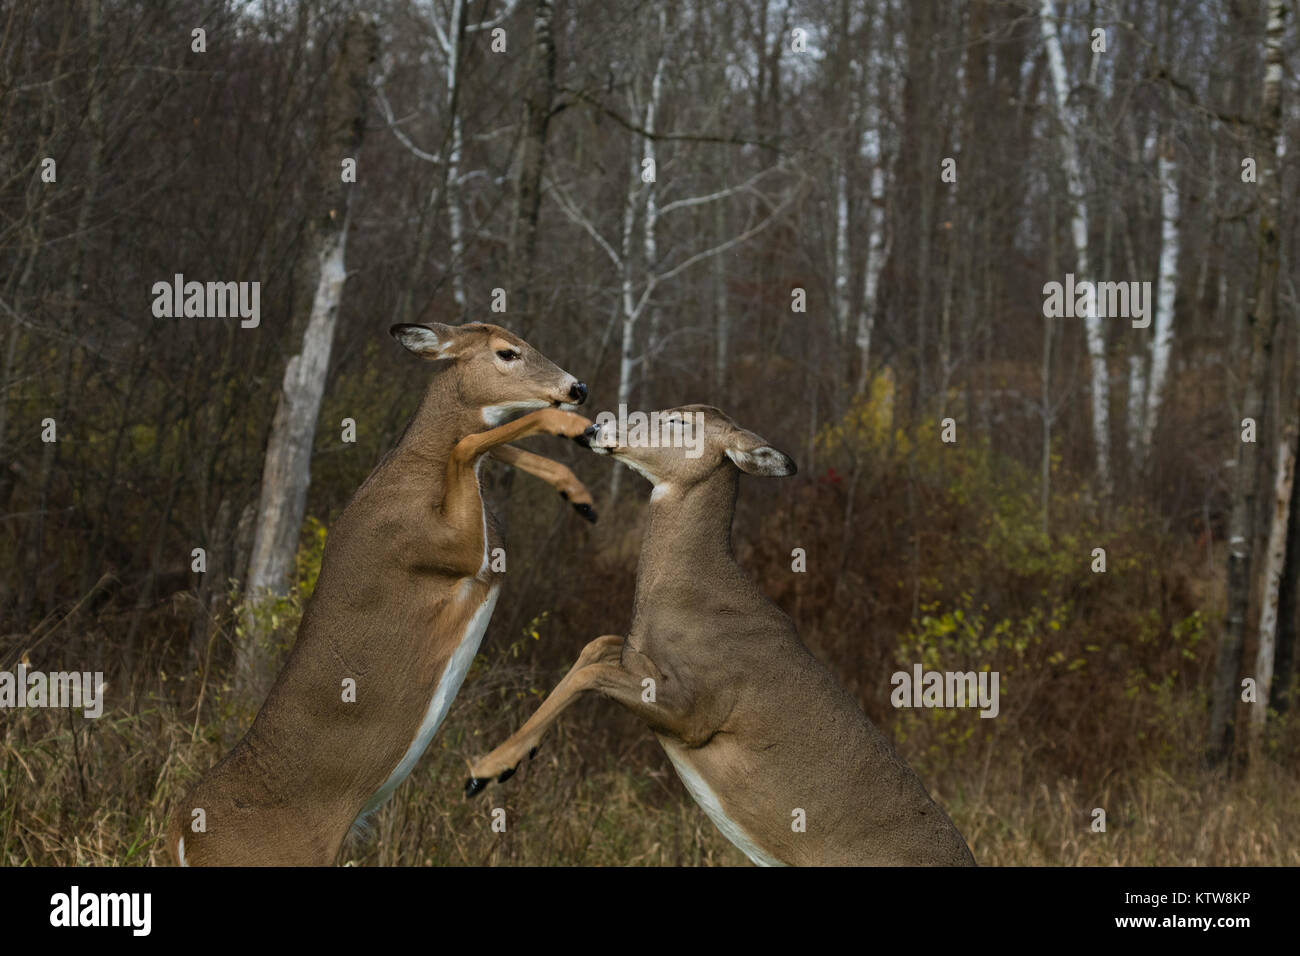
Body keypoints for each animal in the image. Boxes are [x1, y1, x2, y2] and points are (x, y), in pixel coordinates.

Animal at [167, 322, 594, 866]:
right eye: (507, 352)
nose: (577, 388)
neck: (412, 471)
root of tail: (182, 833)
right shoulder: (443, 547)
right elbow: (468, 446)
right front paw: (573, 435)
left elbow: (484, 445)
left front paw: (579, 492)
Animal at [466, 405, 977, 866]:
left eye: (678, 421)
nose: (595, 427)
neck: (689, 591)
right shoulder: (642, 659)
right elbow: (598, 646)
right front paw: (513, 758)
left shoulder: (698, 708)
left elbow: (591, 673)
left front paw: (487, 769)